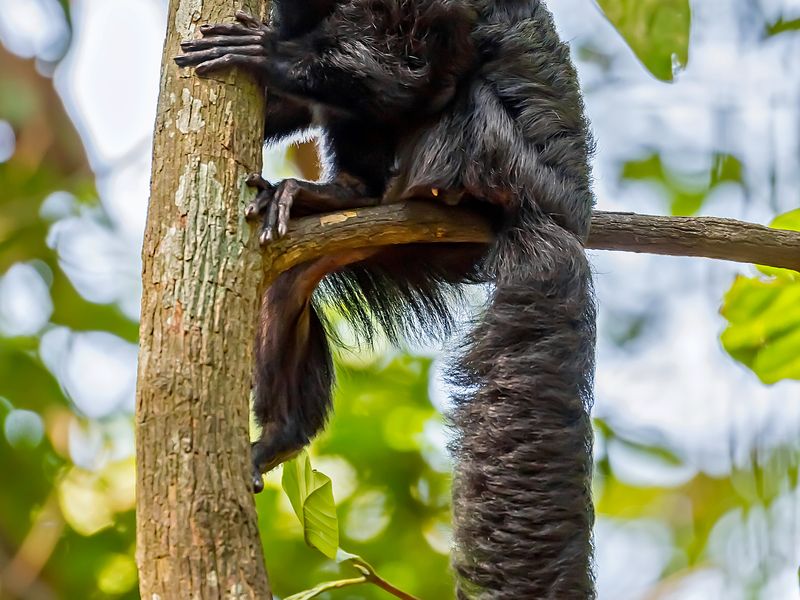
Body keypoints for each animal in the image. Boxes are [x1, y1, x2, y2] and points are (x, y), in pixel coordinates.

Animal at [175, 1, 597, 598]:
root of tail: (561, 215)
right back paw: (282, 435)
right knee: (287, 285)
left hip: (486, 155)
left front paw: (274, 58)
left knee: (455, 92)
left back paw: (372, 192)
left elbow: (417, 65)